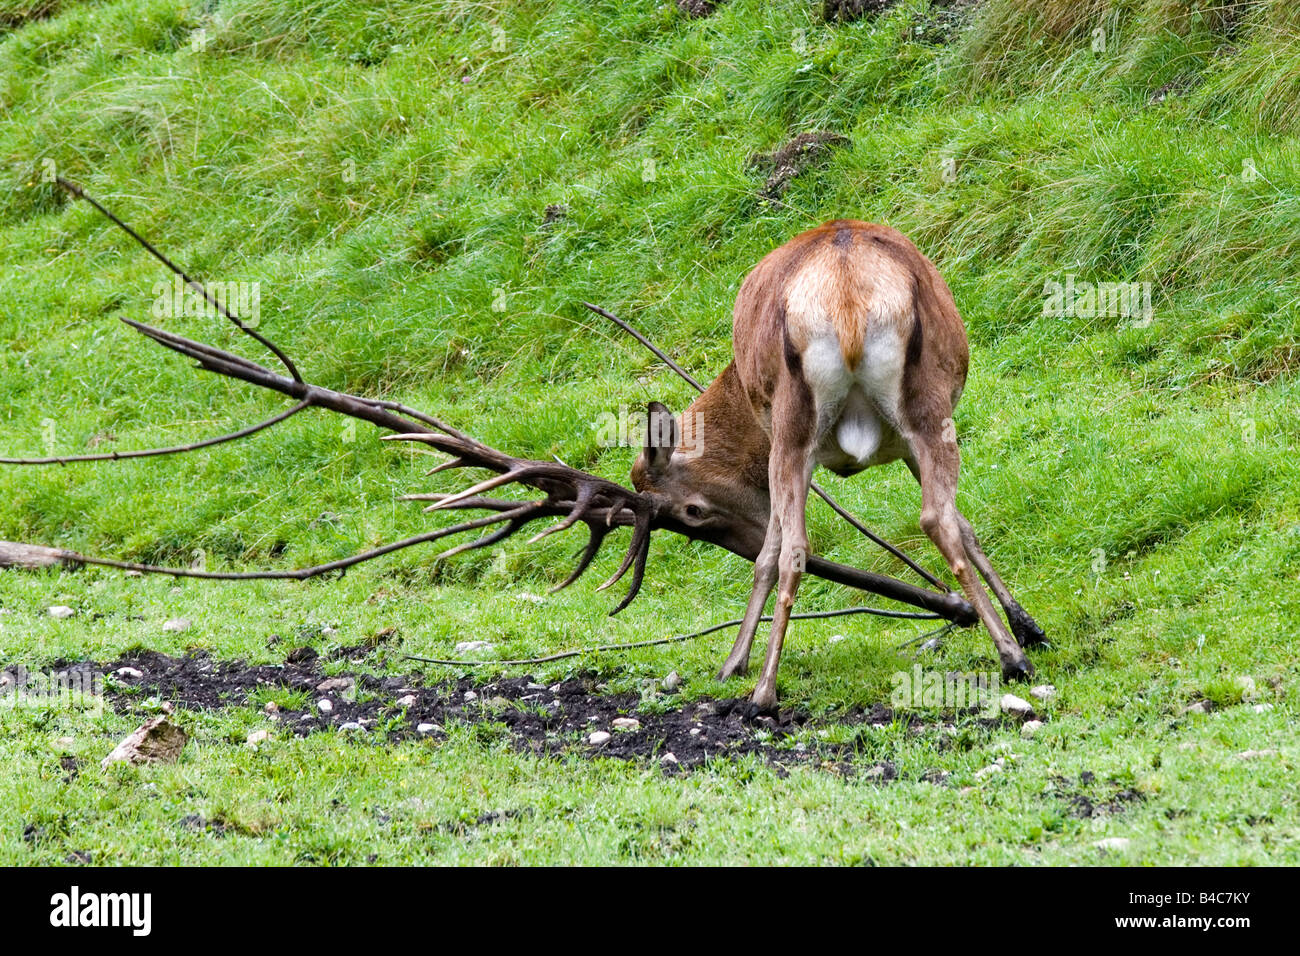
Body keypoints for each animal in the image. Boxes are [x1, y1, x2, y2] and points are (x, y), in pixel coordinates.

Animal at [631, 220, 1046, 713]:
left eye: (691, 511)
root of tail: (847, 301)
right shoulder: (903, 449)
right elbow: (966, 526)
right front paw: (1030, 627)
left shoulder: (779, 446)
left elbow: (768, 555)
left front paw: (733, 663)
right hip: (919, 413)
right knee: (928, 519)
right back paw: (1013, 656)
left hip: (800, 430)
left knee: (799, 546)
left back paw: (764, 691)